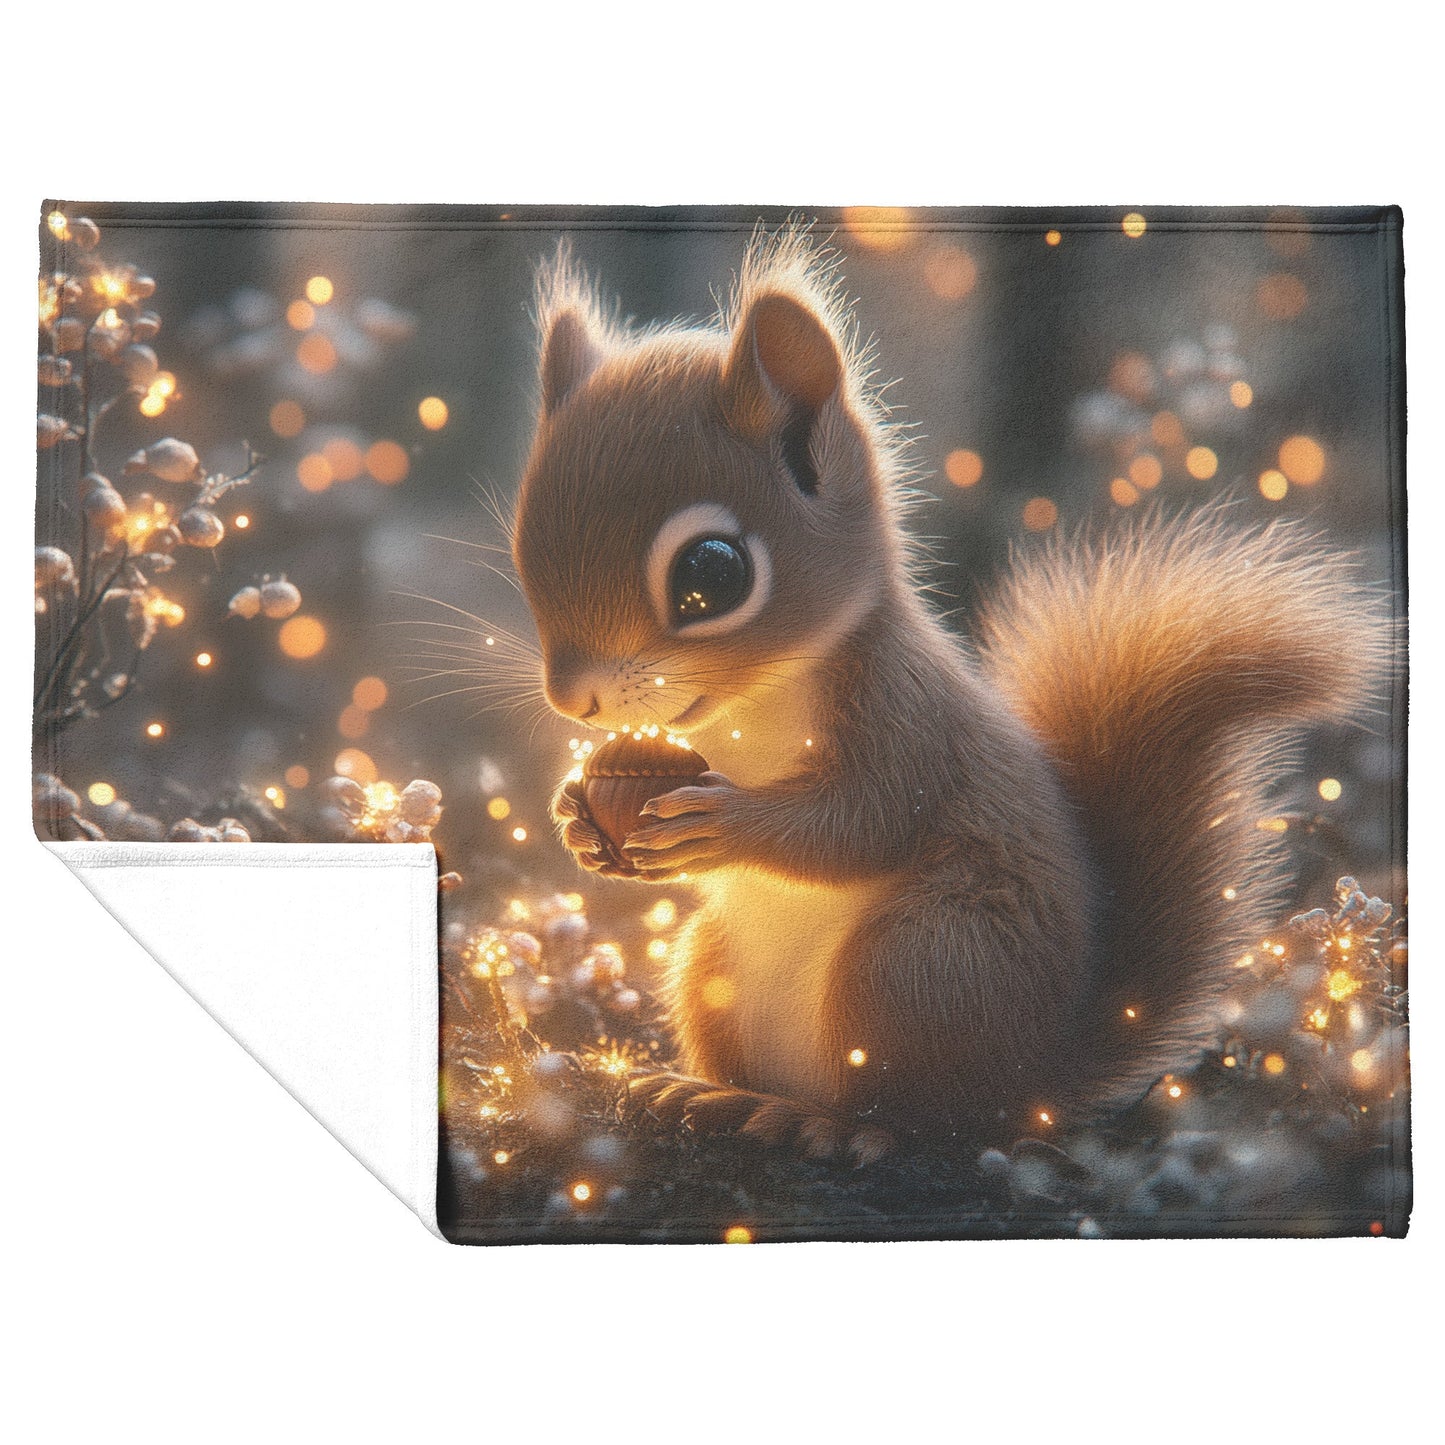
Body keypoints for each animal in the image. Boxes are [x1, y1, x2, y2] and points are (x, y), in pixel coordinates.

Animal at [510, 230, 1387, 1161]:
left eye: (711, 574)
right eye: (522, 544)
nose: (574, 701)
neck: (748, 710)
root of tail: (1029, 1079)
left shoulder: (905, 714)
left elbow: (865, 818)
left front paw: (728, 824)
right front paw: (576, 817)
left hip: (922, 962)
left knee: (915, 1115)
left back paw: (819, 1120)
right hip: (711, 962)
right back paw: (705, 1091)